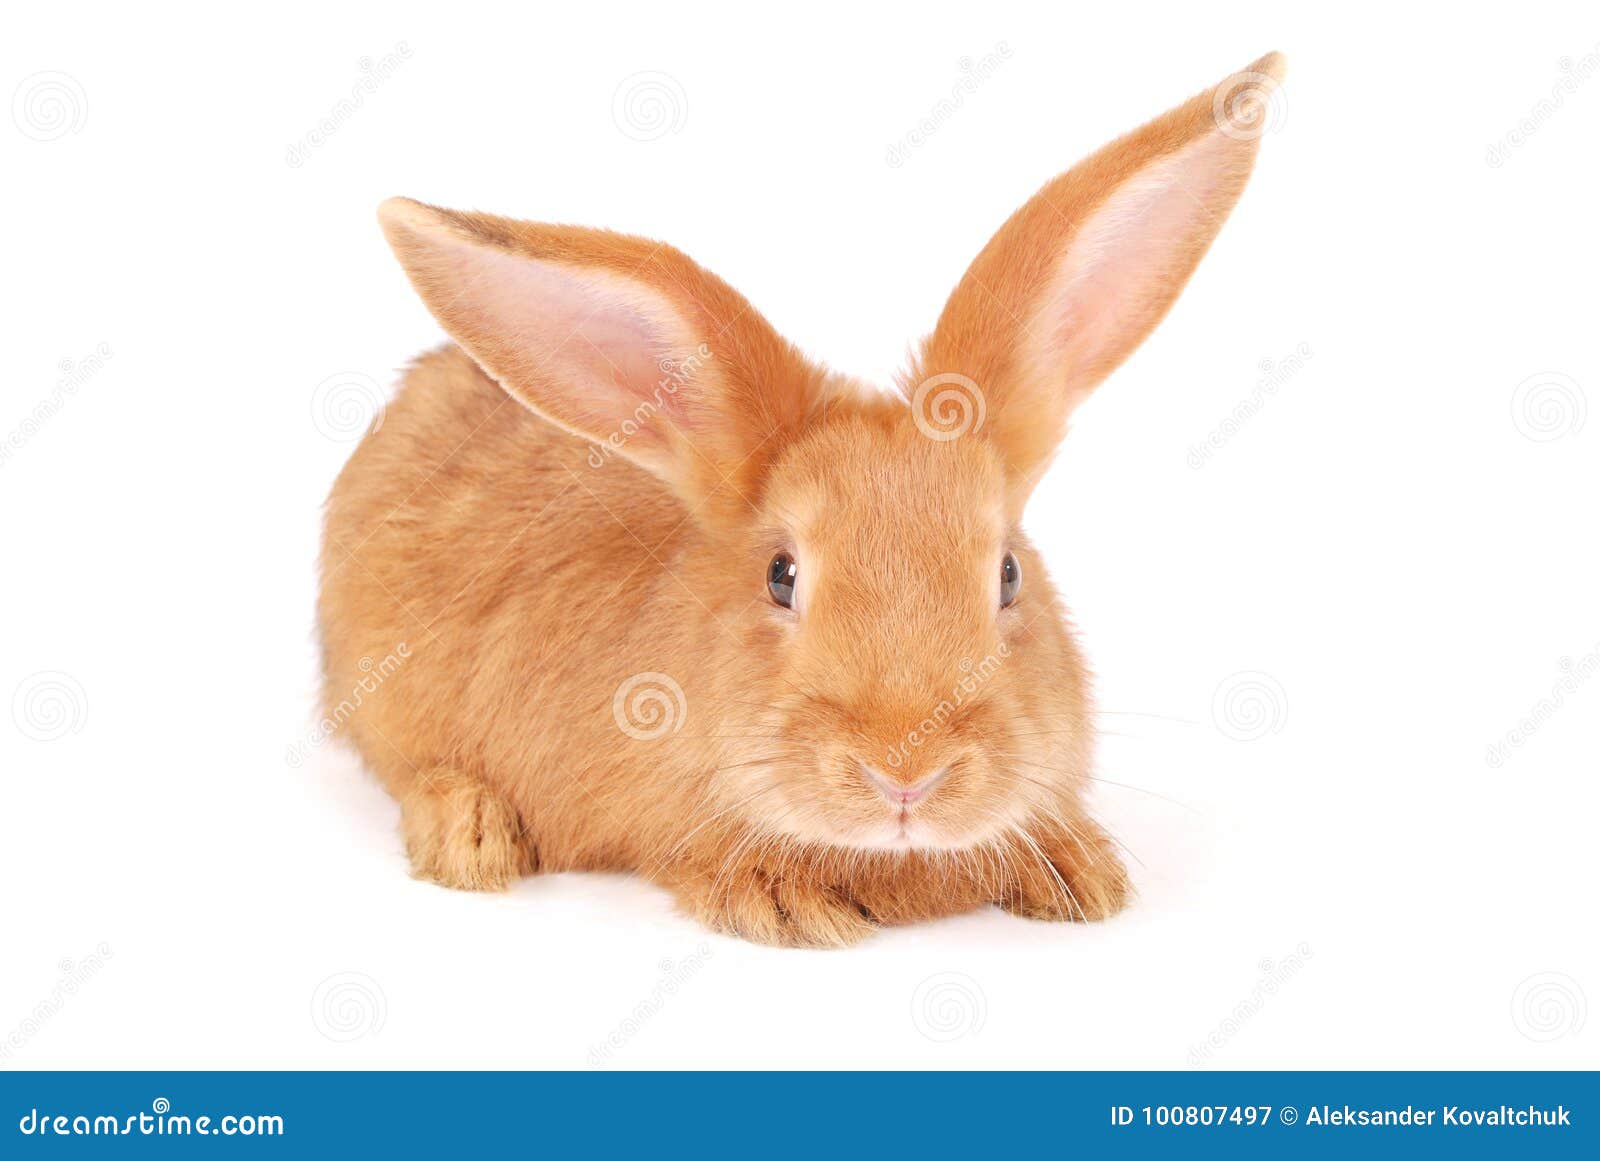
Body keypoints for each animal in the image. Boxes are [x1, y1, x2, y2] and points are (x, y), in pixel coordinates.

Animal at [318, 53, 1285, 946]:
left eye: (1009, 575)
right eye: (782, 576)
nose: (907, 772)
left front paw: (1078, 869)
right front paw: (782, 901)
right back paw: (467, 831)